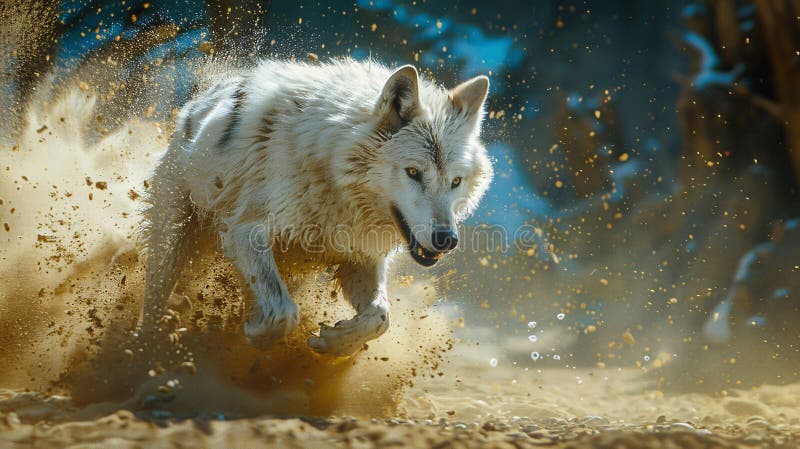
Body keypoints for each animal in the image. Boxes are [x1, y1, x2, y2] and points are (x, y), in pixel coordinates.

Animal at [142, 59, 493, 356]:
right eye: (413, 172)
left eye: (455, 181)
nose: (447, 239)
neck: (331, 171)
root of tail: (198, 101)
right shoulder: (245, 230)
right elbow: (283, 312)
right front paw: (256, 334)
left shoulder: (361, 256)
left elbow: (380, 317)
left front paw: (336, 343)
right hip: (172, 243)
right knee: (152, 303)